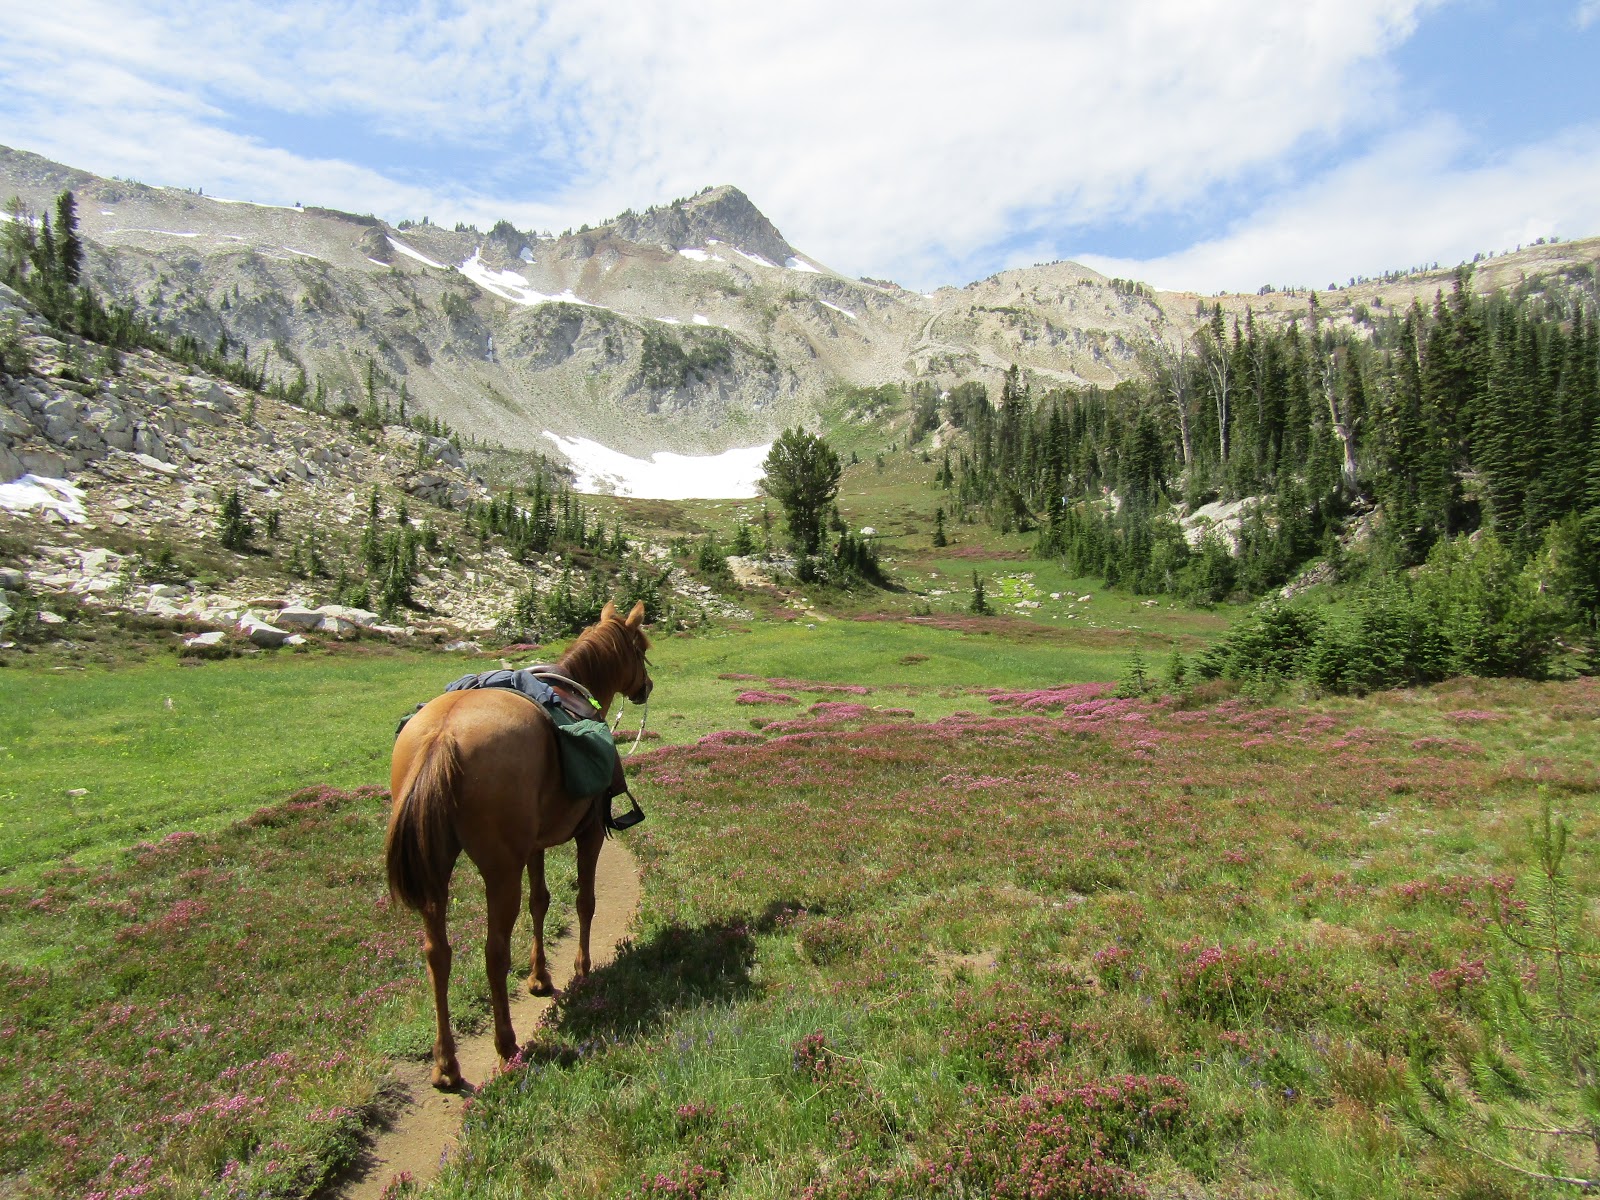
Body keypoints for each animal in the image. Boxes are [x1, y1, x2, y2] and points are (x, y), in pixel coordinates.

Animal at [385, 600, 652, 1088]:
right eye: (640, 650)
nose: (647, 686)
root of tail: (442, 736)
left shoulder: (533, 847)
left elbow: (541, 902)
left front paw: (540, 977)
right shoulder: (588, 835)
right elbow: (584, 901)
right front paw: (582, 971)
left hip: (437, 871)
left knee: (438, 954)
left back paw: (446, 1064)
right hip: (499, 870)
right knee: (494, 952)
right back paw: (506, 1044)